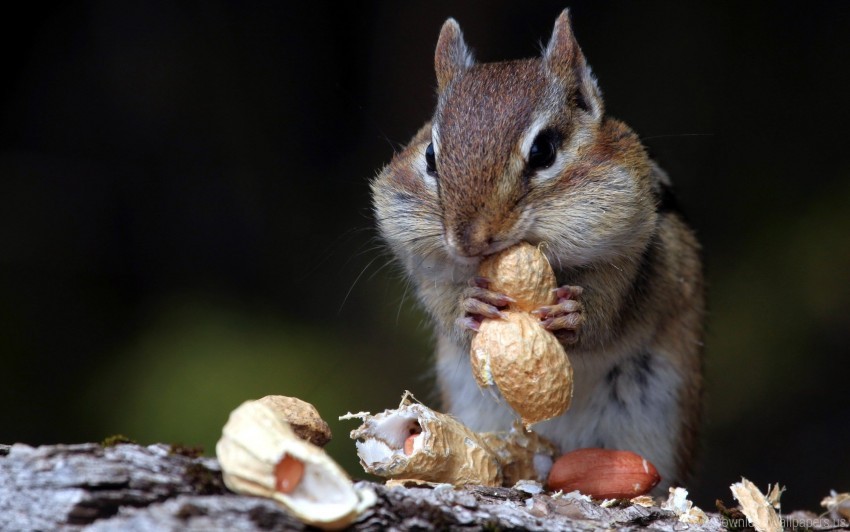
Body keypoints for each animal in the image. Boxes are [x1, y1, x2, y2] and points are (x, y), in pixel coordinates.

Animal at [371, 9, 704, 488]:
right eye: (431, 156)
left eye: (544, 150)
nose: (468, 241)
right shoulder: (425, 263)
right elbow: (444, 303)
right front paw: (469, 304)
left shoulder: (636, 252)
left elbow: (612, 310)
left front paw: (573, 315)